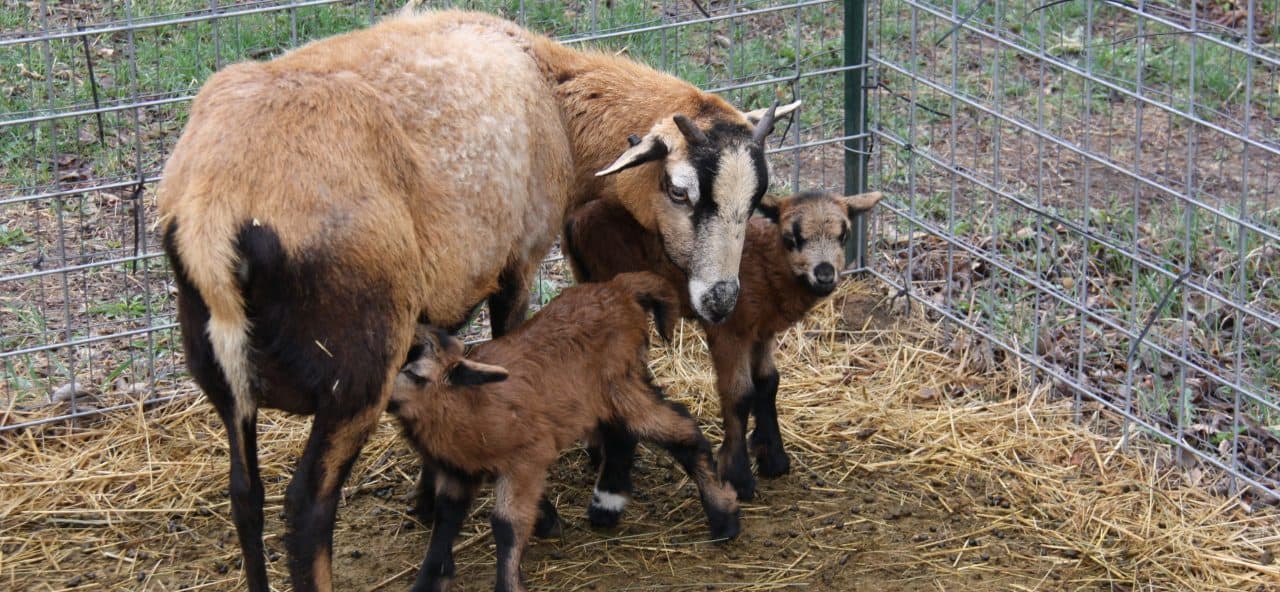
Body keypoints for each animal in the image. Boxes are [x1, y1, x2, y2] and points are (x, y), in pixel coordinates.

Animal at [387, 271, 740, 592]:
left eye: (416, 374)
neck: (466, 403)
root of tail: (621, 287)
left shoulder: (528, 456)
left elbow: (506, 524)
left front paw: (509, 582)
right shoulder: (458, 472)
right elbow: (444, 521)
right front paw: (429, 581)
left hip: (619, 382)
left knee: (681, 429)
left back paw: (724, 518)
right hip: (608, 392)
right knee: (623, 434)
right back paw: (607, 505)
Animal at [562, 190, 883, 522]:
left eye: (844, 235)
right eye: (791, 238)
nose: (824, 274)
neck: (766, 263)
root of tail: (576, 218)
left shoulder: (762, 330)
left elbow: (769, 382)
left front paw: (773, 457)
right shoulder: (730, 330)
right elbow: (740, 394)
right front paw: (738, 476)